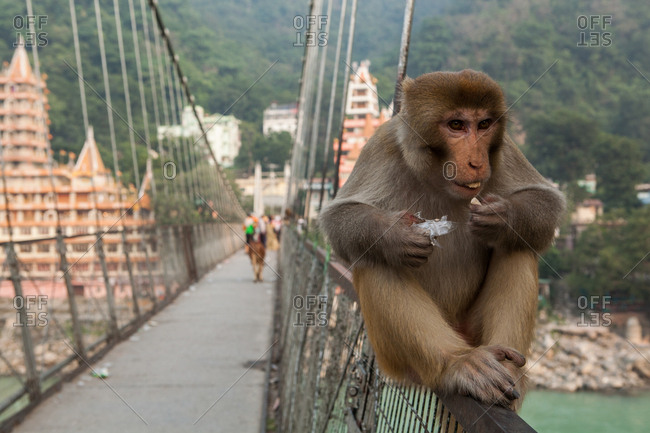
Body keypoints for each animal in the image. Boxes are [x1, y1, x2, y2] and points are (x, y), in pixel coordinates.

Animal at [319, 70, 565, 410]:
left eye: (483, 124)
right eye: (457, 125)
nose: (476, 162)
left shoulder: (501, 149)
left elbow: (545, 200)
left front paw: (502, 218)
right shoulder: (382, 145)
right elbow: (339, 218)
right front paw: (396, 236)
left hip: (471, 328)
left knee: (517, 246)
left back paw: (506, 367)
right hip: (395, 359)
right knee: (377, 259)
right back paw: (458, 363)